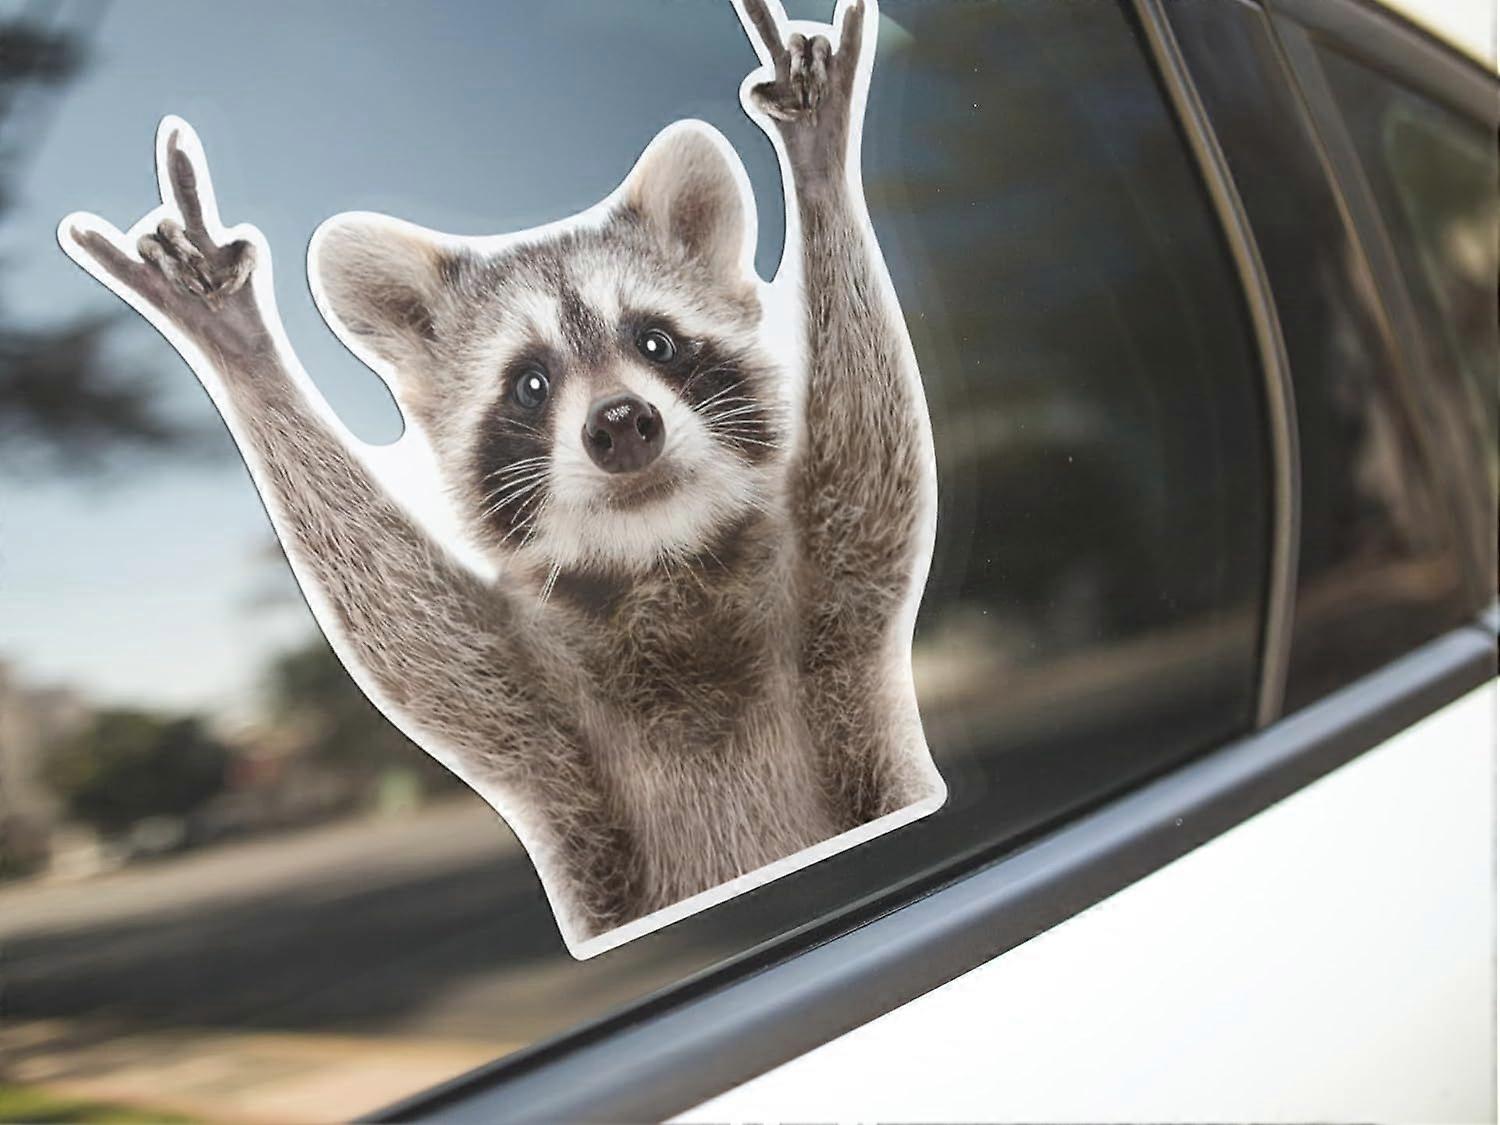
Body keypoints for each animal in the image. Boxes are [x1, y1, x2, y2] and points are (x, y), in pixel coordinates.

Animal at [61, 0, 944, 952]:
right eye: (530, 383)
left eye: (656, 341)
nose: (622, 425)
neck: (657, 562)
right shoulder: (544, 725)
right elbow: (412, 632)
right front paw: (241, 348)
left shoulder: (830, 643)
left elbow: (870, 482)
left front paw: (815, 168)